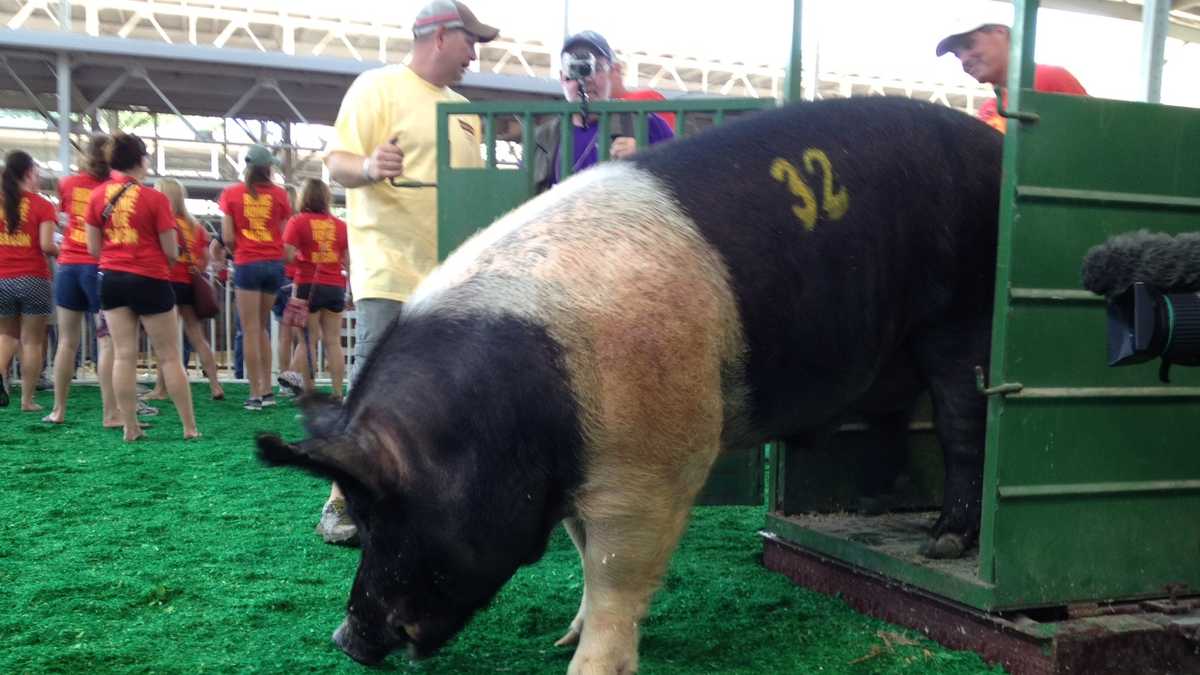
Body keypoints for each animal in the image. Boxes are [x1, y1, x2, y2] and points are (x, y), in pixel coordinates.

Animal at [257, 96, 1002, 673]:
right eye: (358, 514)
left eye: (385, 510)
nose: (344, 638)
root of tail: (995, 145)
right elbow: (585, 554)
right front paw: (564, 637)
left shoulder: (652, 462)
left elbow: (617, 568)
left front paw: (586, 664)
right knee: (893, 416)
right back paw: (875, 505)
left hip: (965, 310)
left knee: (964, 420)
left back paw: (941, 541)